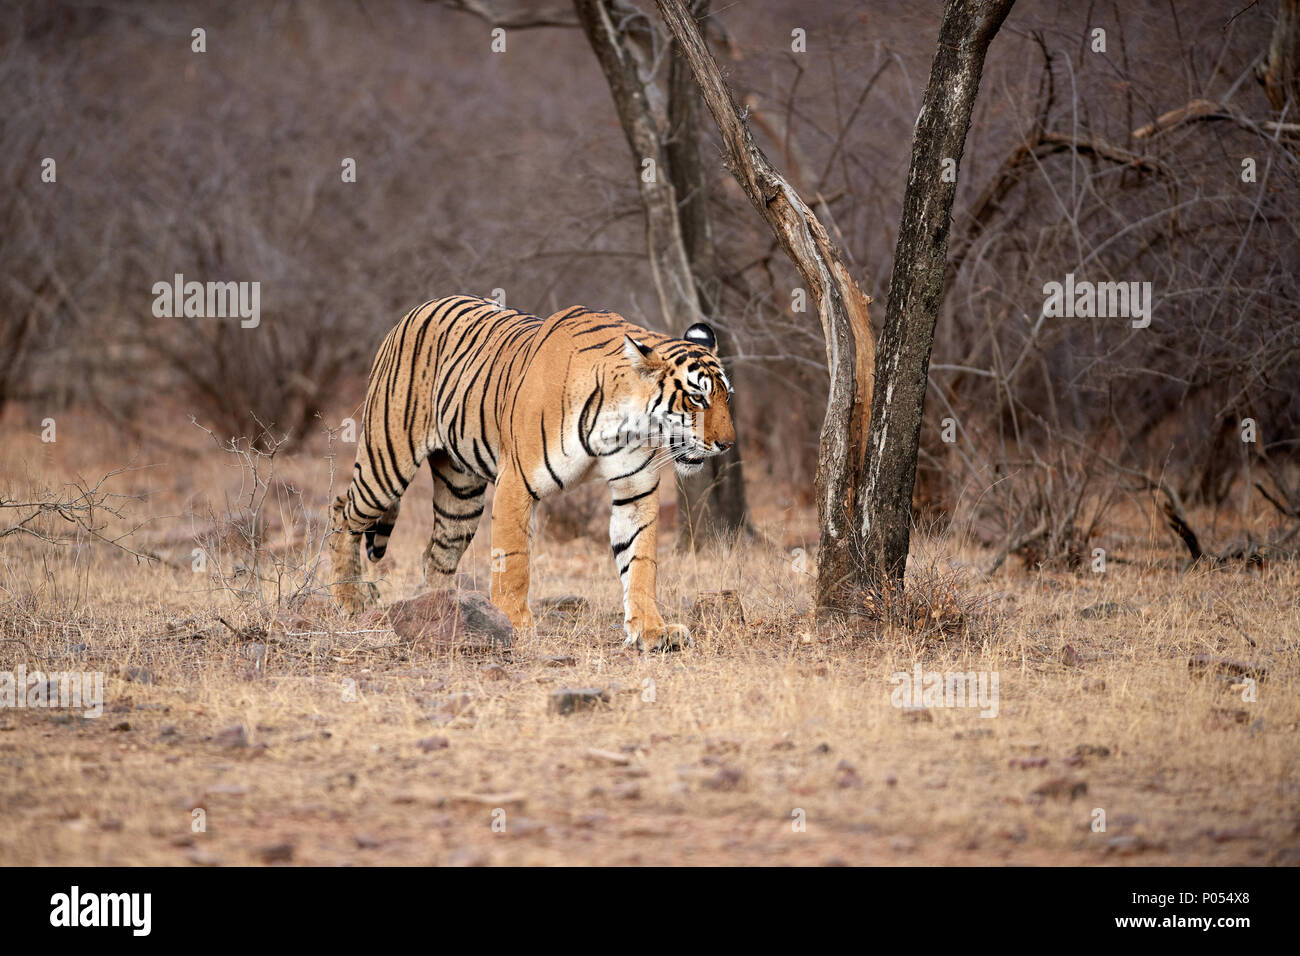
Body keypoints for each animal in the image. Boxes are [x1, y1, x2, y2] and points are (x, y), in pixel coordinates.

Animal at [328, 294, 736, 651]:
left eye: (725, 396)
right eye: (697, 398)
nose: (728, 444)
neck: (625, 423)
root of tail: (415, 310)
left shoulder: (635, 490)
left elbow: (640, 561)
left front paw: (652, 631)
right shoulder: (517, 482)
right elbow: (514, 561)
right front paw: (515, 625)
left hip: (461, 495)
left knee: (436, 555)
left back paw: (437, 613)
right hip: (387, 461)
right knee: (342, 511)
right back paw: (348, 599)